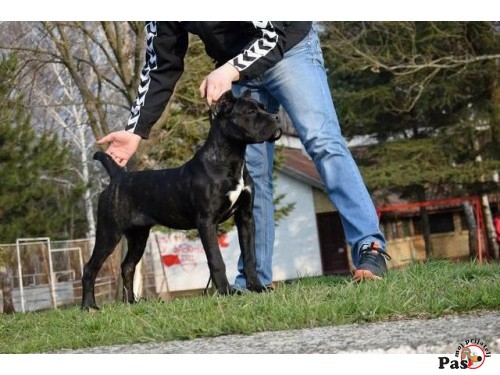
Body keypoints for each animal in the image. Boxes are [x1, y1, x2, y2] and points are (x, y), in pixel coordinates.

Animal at [81, 92, 282, 312]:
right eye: (250, 111)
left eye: (264, 107)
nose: (277, 118)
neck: (232, 160)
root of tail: (117, 177)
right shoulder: (206, 222)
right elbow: (216, 259)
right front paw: (225, 292)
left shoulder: (245, 217)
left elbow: (250, 257)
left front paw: (257, 288)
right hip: (109, 233)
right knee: (90, 267)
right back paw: (89, 306)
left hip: (138, 236)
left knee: (127, 266)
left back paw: (131, 303)